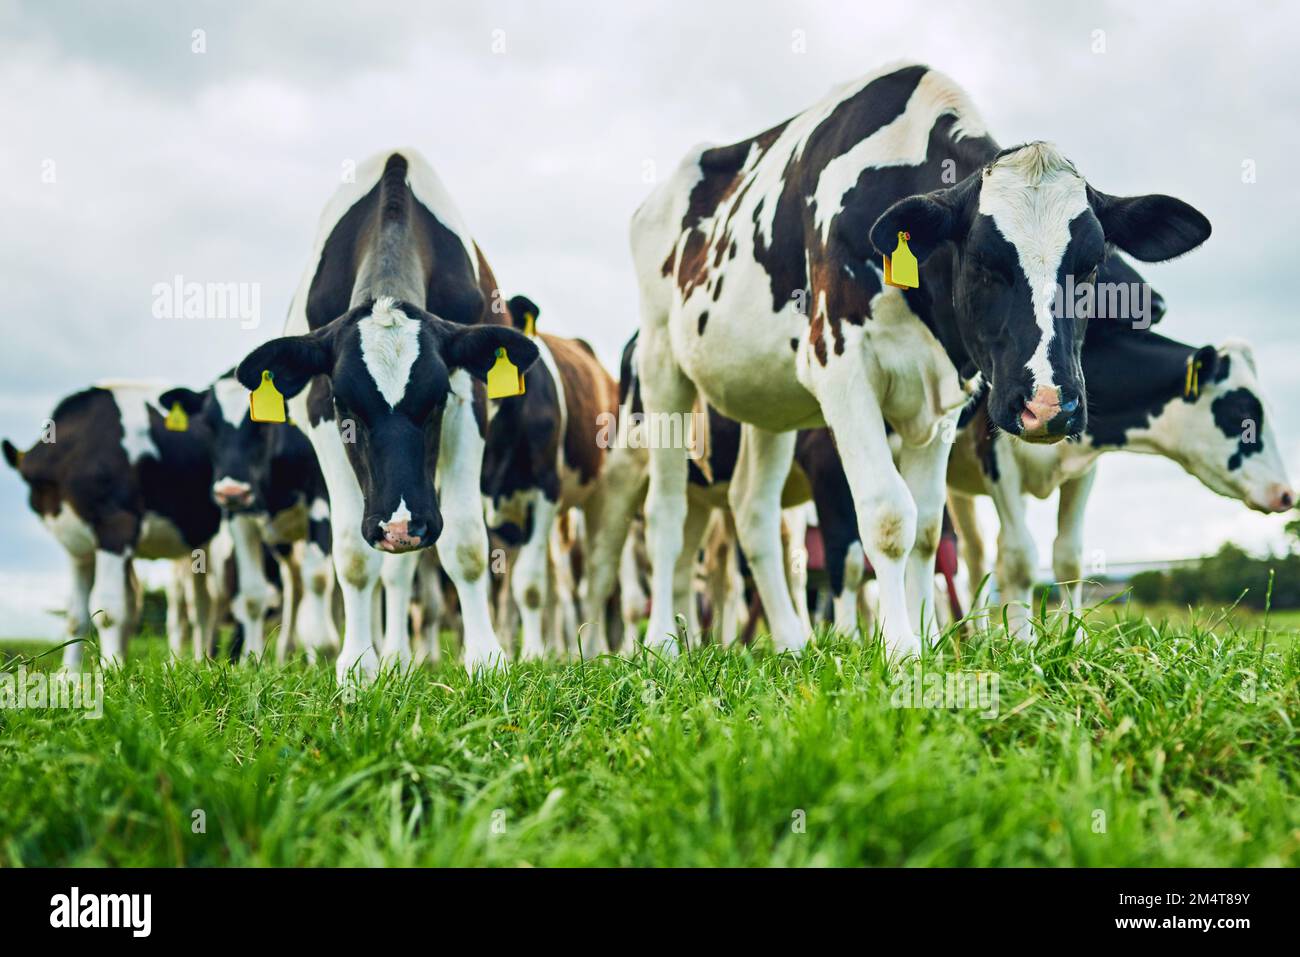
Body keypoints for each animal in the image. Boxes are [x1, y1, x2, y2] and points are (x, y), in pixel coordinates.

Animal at [3, 382, 222, 666]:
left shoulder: (116, 525)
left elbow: (111, 611)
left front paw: (111, 669)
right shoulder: (77, 545)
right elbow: (76, 616)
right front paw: (70, 674)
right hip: (198, 546)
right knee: (202, 604)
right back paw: (201, 663)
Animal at [160, 373, 337, 662]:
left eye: (262, 425)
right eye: (208, 426)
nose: (231, 491)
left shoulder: (322, 500)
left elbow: (319, 576)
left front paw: (324, 650)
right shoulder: (240, 517)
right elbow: (253, 593)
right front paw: (251, 660)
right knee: (294, 585)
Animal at [232, 149, 539, 679]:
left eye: (436, 399)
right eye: (347, 407)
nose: (400, 528)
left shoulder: (469, 401)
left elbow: (464, 542)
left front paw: (486, 658)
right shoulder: (320, 414)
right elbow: (354, 556)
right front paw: (358, 668)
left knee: (403, 567)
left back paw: (399, 654)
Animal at [629, 61, 1212, 659]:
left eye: (1092, 264)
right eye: (982, 261)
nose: (1048, 405)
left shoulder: (945, 393)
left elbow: (929, 529)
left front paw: (930, 637)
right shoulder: (840, 366)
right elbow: (889, 516)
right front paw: (900, 647)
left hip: (768, 399)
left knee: (753, 511)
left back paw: (792, 642)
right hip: (661, 363)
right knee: (665, 516)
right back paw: (663, 645)